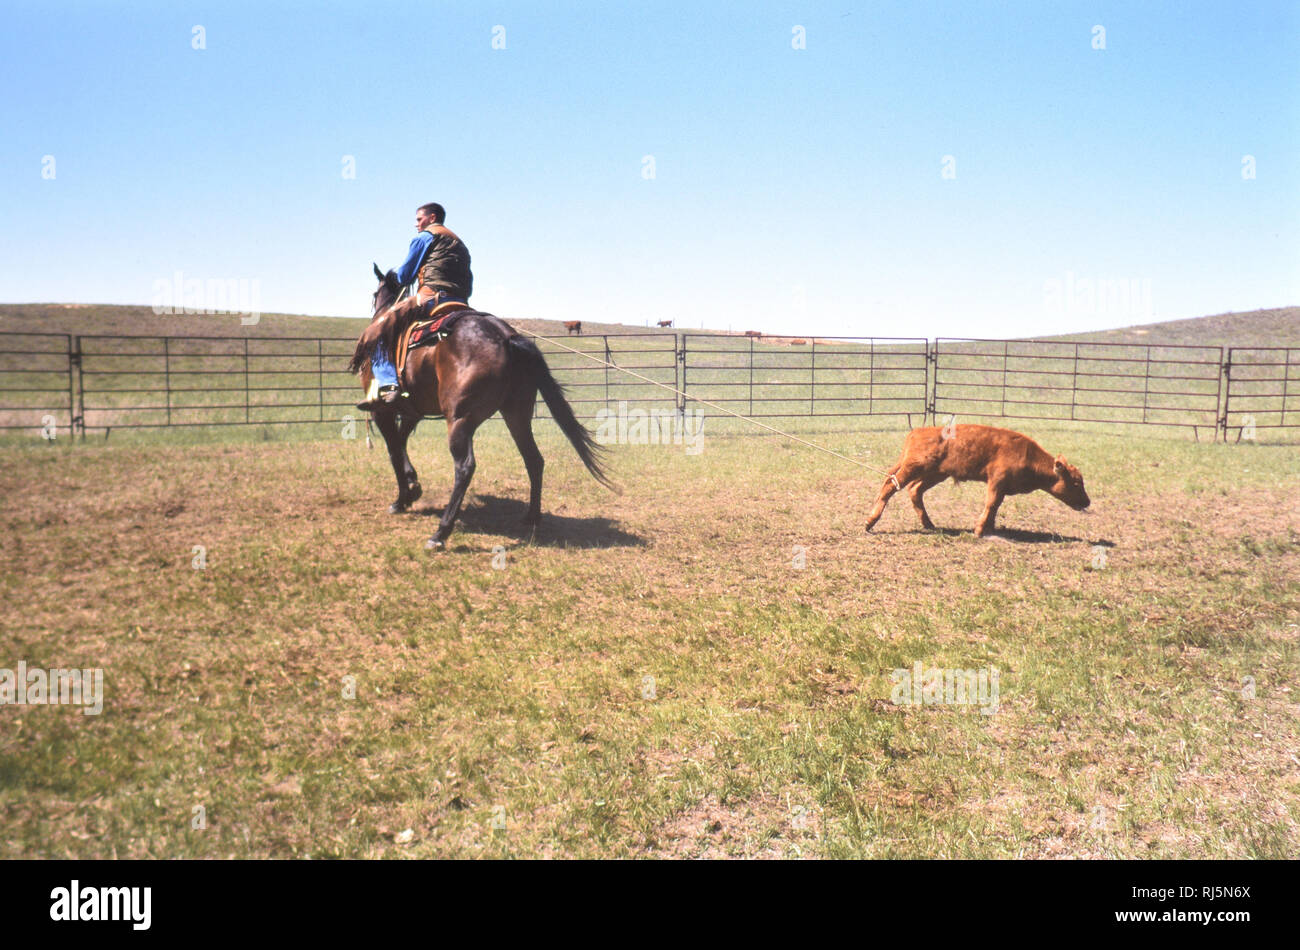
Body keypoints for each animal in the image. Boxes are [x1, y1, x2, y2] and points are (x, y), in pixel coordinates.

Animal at [864, 424, 1090, 537]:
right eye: (1076, 483)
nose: (1087, 502)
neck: (1026, 455)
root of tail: (917, 431)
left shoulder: (1002, 486)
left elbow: (996, 506)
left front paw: (990, 528)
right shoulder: (997, 481)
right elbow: (991, 504)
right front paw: (980, 530)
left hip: (936, 473)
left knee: (914, 490)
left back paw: (929, 524)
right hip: (914, 467)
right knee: (890, 485)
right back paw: (870, 521)